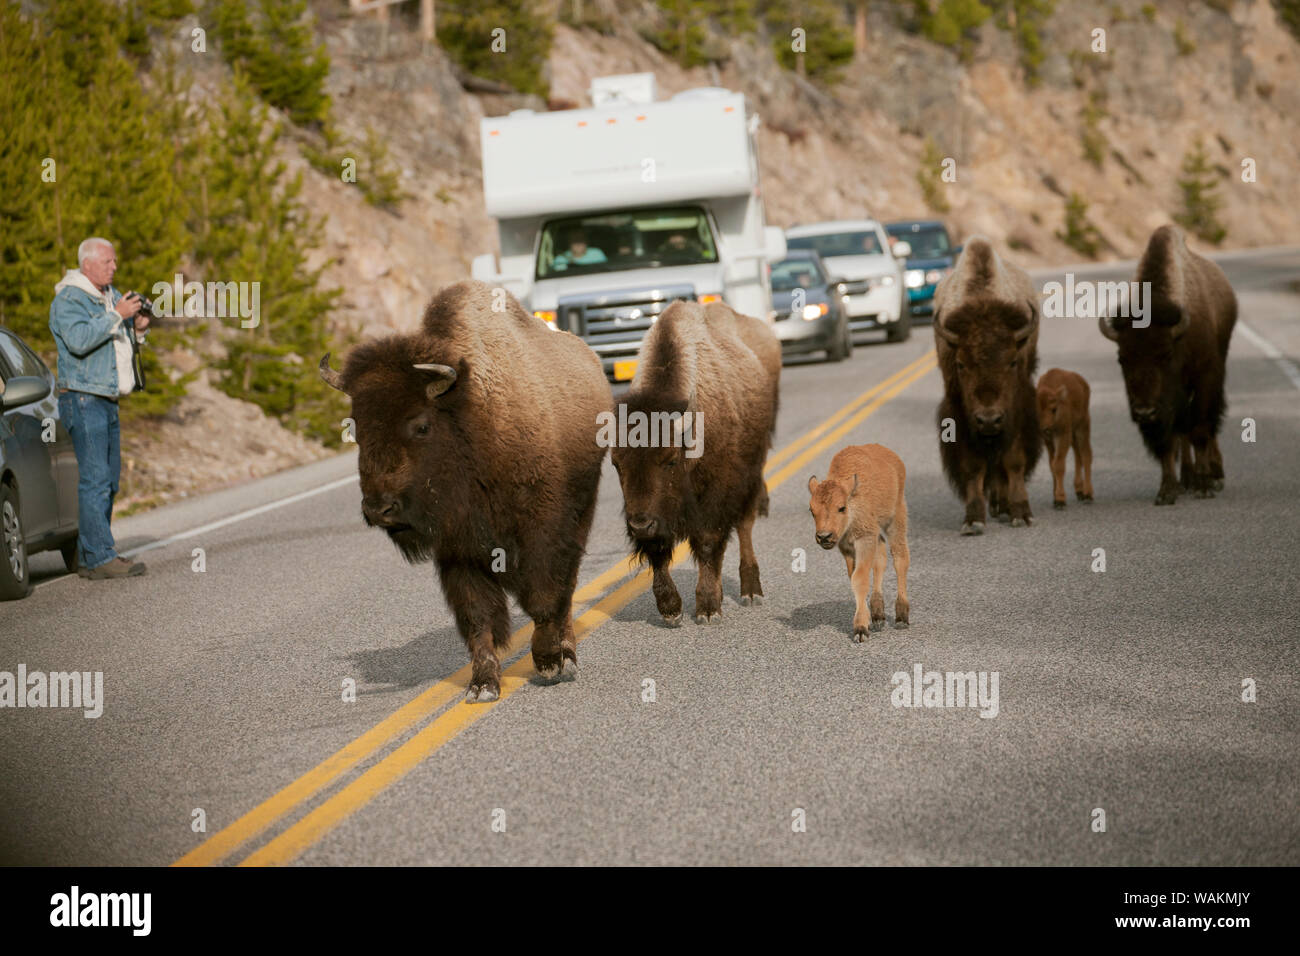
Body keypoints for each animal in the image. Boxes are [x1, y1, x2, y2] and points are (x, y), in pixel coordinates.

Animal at [320, 281, 612, 702]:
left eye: (421, 425)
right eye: (355, 426)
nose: (379, 509)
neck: (468, 417)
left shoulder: (541, 531)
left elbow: (543, 597)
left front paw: (548, 662)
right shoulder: (458, 551)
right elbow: (478, 617)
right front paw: (483, 685)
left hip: (582, 510)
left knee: (567, 589)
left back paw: (567, 654)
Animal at [609, 300, 780, 625]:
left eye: (670, 460)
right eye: (616, 464)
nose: (639, 525)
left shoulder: (715, 496)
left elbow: (708, 542)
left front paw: (708, 608)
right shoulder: (654, 515)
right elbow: (658, 552)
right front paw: (671, 610)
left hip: (752, 474)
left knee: (745, 526)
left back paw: (751, 592)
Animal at [933, 237, 1041, 534]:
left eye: (1013, 361)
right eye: (960, 364)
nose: (989, 420)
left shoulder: (1017, 410)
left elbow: (1013, 461)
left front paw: (1021, 513)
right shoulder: (959, 414)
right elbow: (973, 467)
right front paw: (973, 520)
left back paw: (1003, 506)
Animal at [1099, 225, 1236, 504]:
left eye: (1166, 355)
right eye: (1122, 358)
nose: (1144, 412)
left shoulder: (1205, 379)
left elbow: (1200, 430)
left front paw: (1203, 487)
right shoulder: (1166, 407)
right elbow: (1168, 443)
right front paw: (1167, 490)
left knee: (1209, 425)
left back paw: (1214, 476)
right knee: (1183, 433)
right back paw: (1187, 478)